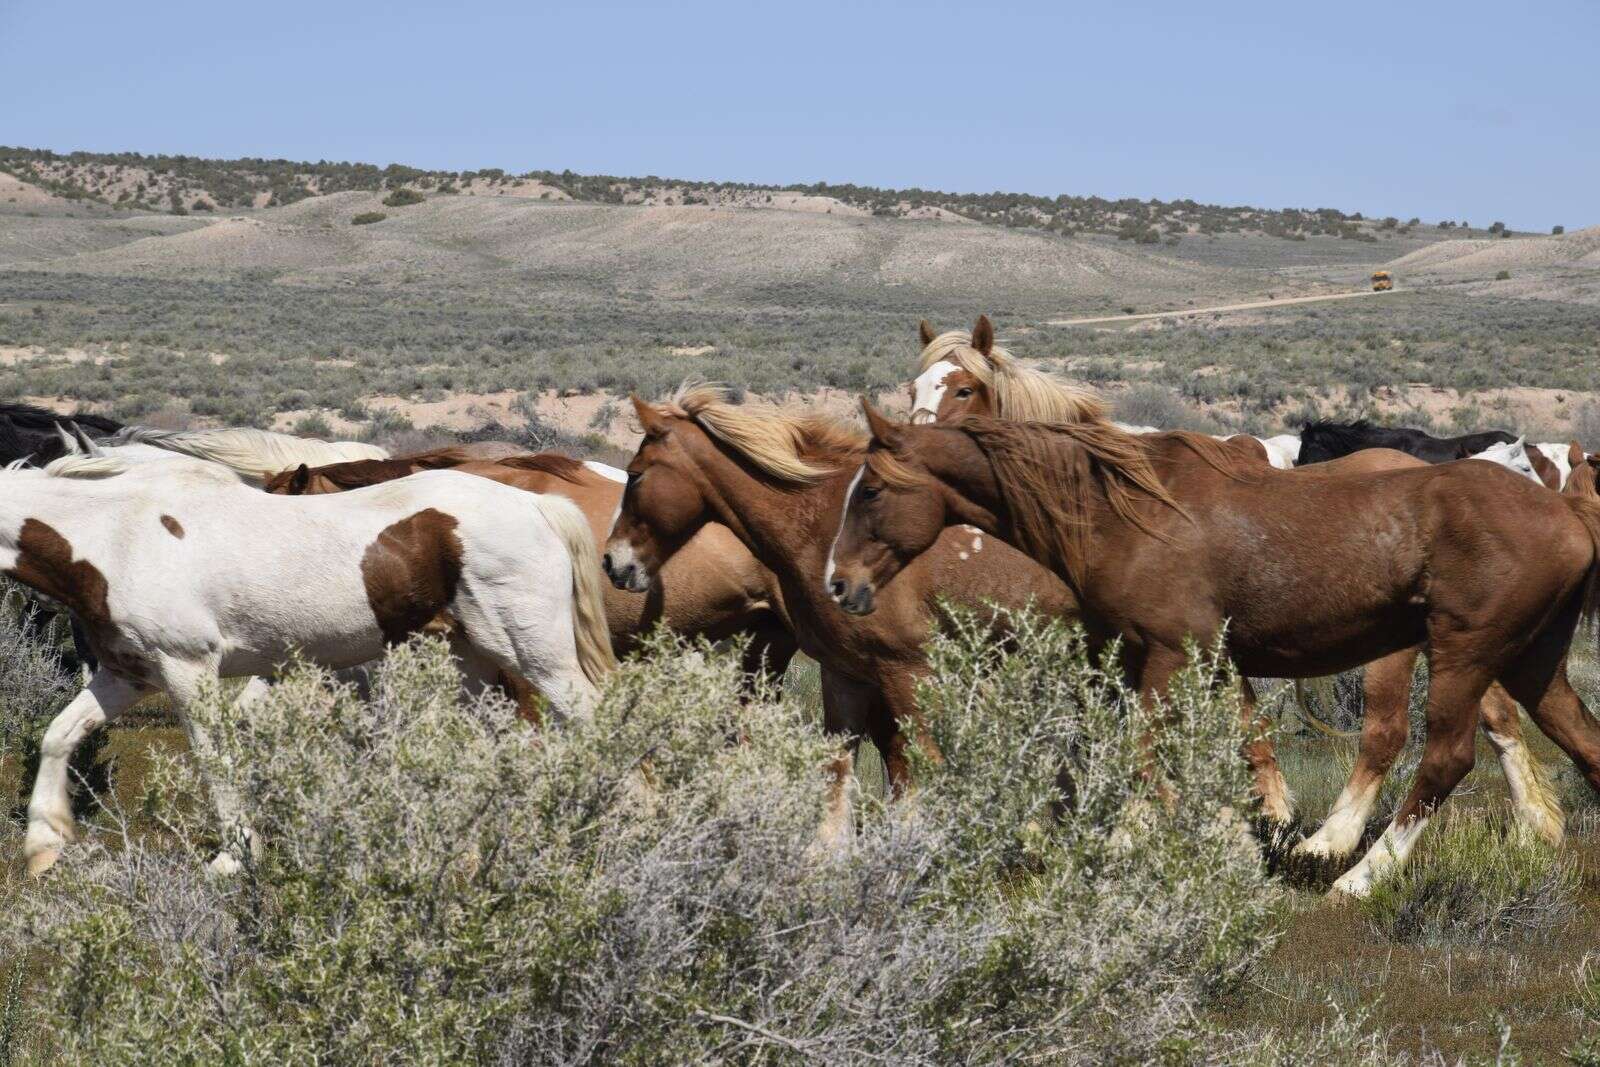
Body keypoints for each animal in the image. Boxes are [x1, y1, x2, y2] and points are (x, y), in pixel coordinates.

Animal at [4, 452, 614, 877]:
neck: (117, 537)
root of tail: (538, 507)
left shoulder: (187, 669)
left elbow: (213, 762)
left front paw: (233, 857)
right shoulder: (129, 674)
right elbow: (59, 735)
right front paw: (43, 844)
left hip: (536, 654)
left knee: (593, 722)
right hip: (475, 662)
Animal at [601, 385, 1079, 841]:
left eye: (635, 474)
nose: (610, 561)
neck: (821, 530)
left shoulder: (908, 672)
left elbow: (918, 779)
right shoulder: (844, 674)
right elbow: (837, 783)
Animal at [826, 405, 1600, 894]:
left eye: (875, 489)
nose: (839, 583)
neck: (1121, 511)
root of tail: (1565, 508)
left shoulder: (1171, 654)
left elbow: (1148, 757)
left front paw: (1137, 844)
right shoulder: (1175, 659)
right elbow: (1205, 749)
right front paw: (1228, 838)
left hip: (1465, 652)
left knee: (1445, 758)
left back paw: (1355, 875)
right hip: (1531, 662)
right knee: (1581, 741)